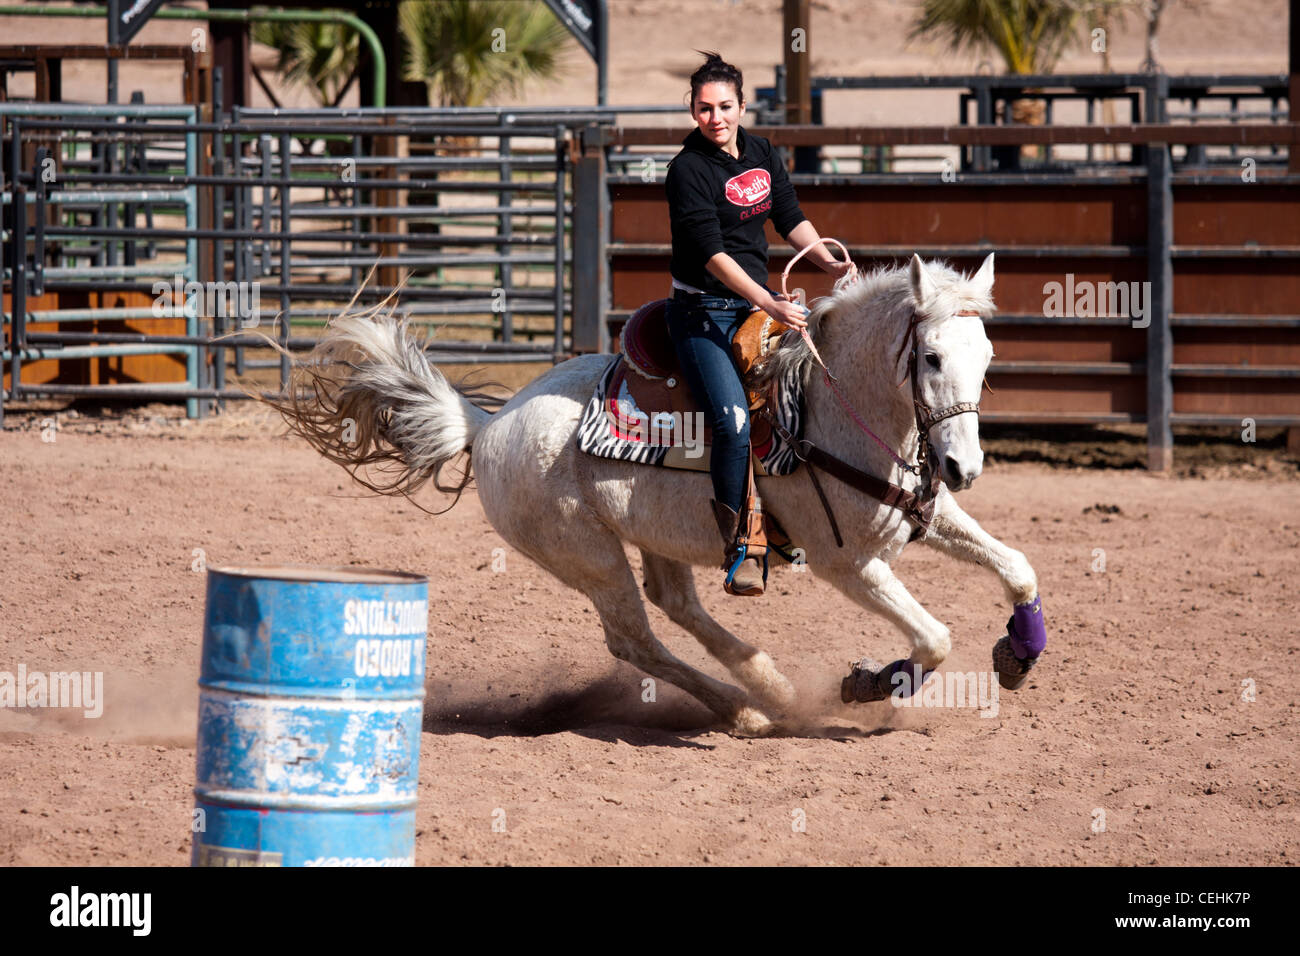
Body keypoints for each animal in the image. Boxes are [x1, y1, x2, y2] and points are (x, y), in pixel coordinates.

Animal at [266, 253, 1046, 736]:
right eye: (932, 357)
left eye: (987, 358)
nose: (963, 465)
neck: (831, 406)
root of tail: (487, 425)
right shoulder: (847, 564)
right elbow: (935, 637)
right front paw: (869, 685)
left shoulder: (930, 515)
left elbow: (1018, 569)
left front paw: (1018, 655)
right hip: (588, 557)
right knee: (635, 639)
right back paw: (748, 708)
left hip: (661, 535)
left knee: (679, 606)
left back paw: (767, 685)